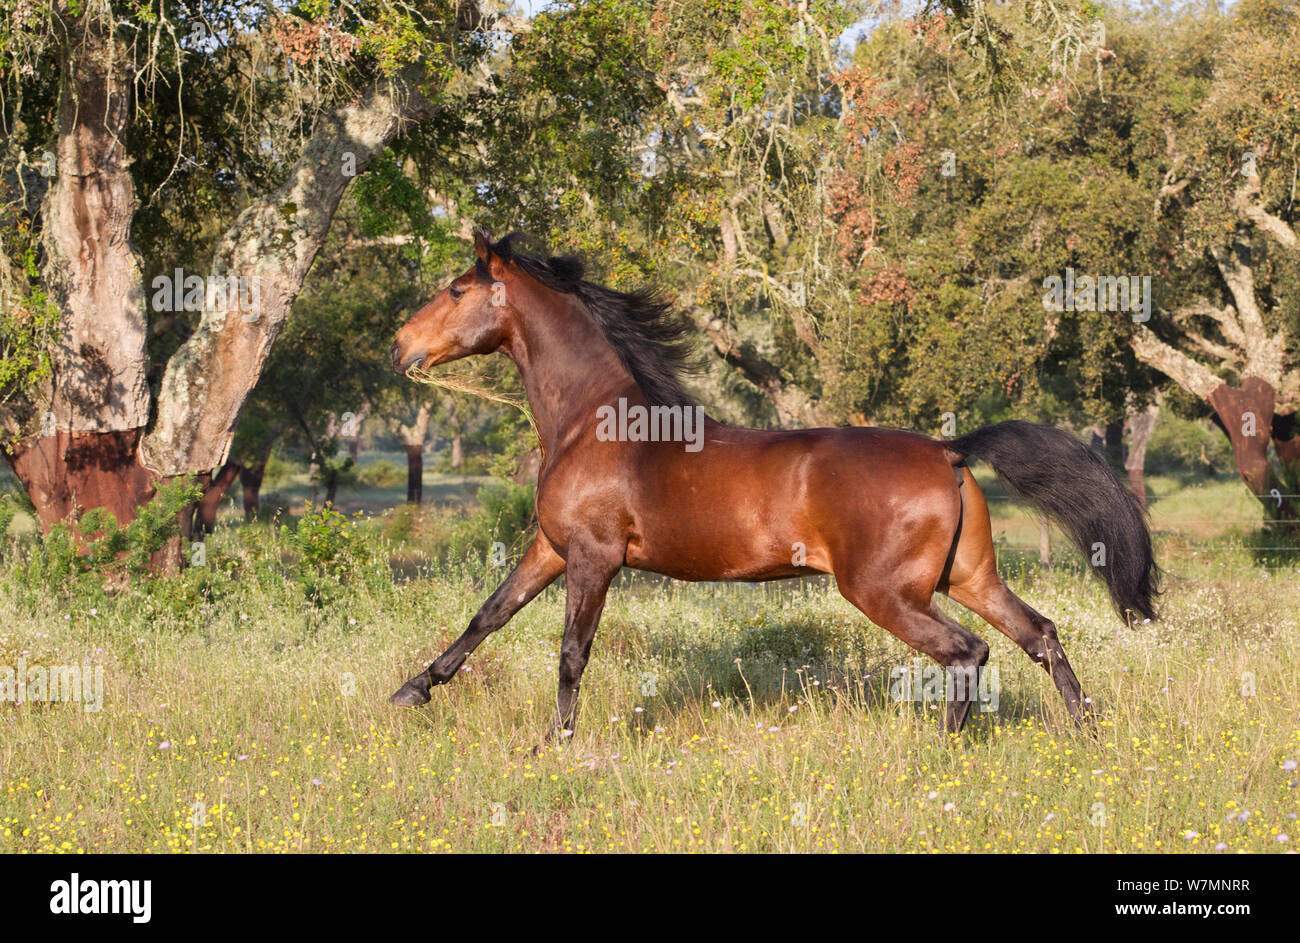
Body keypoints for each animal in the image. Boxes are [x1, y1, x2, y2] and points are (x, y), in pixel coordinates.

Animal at [388, 230, 1160, 736]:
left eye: (457, 290)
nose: (401, 345)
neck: (592, 421)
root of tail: (948, 451)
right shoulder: (551, 548)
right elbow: (488, 614)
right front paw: (411, 690)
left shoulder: (593, 557)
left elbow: (572, 651)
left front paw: (555, 742)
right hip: (968, 578)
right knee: (1040, 634)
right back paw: (1085, 729)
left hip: (883, 591)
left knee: (968, 652)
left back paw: (942, 747)